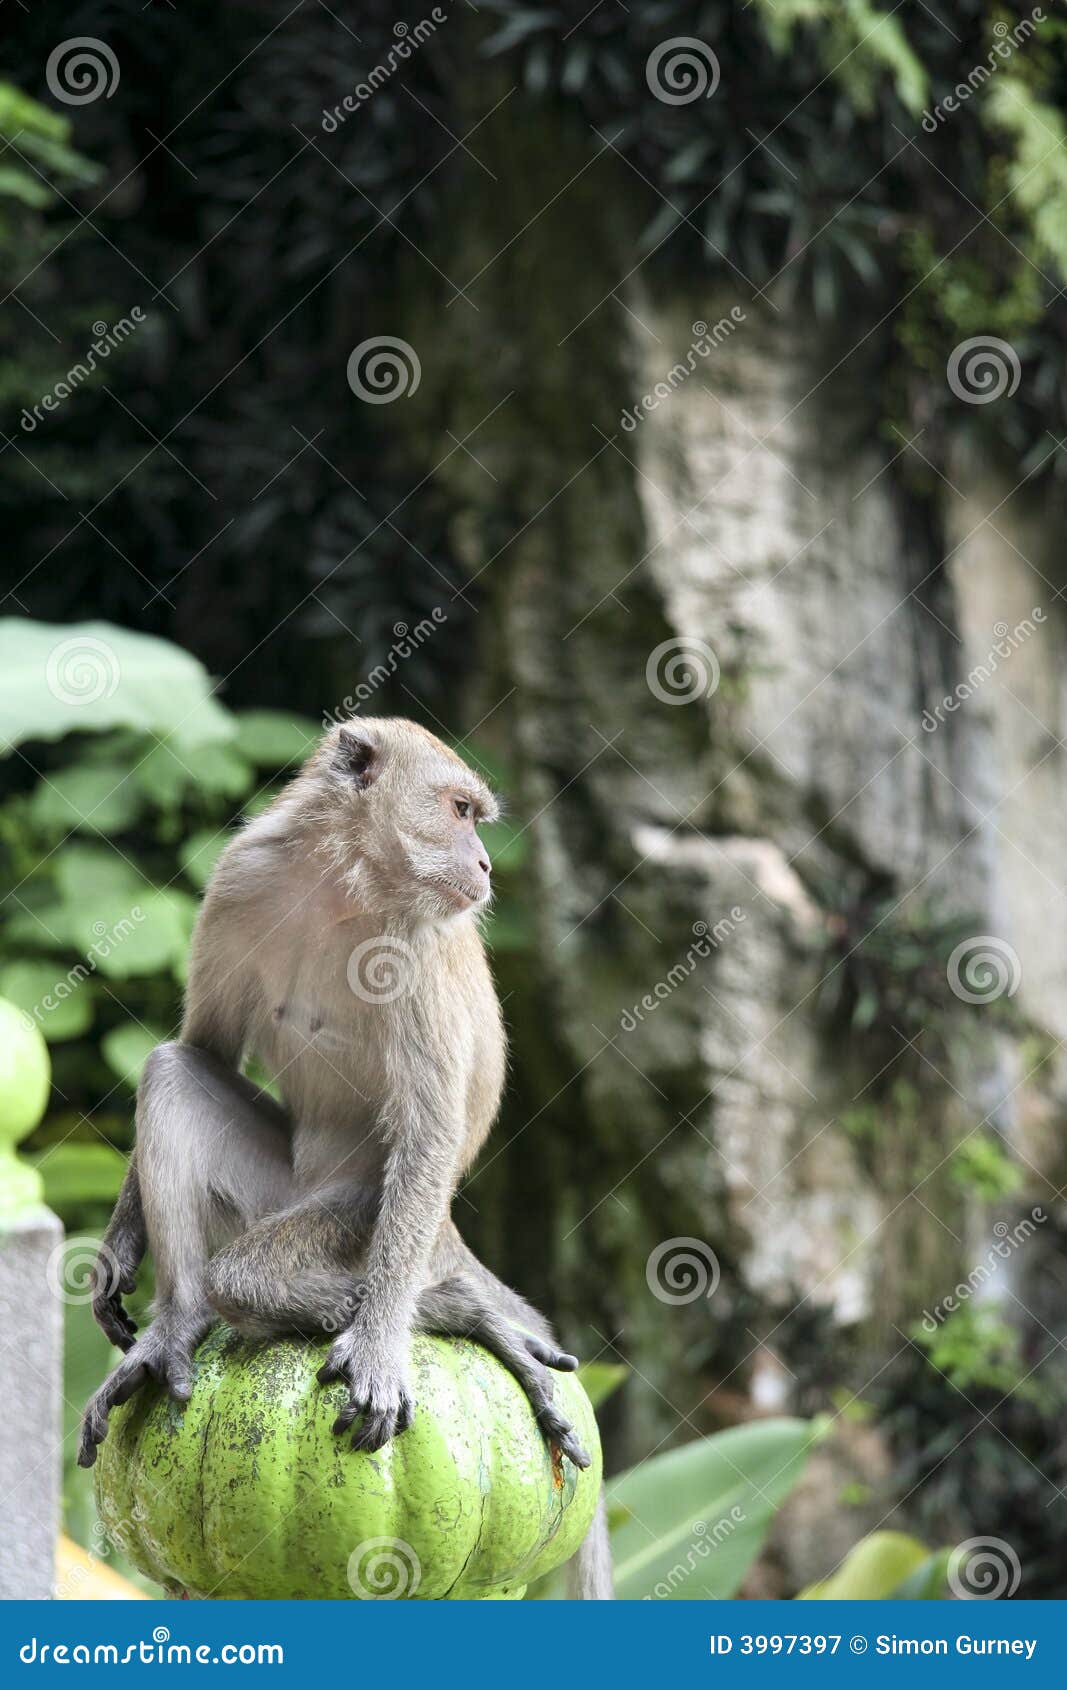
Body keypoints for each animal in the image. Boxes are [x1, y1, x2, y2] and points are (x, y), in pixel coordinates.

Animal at [77, 718, 613, 1599]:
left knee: (254, 1273)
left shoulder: (420, 941)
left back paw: (450, 1311)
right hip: (281, 1192)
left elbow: (428, 1130)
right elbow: (205, 1045)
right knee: (174, 1072)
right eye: (459, 810)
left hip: (372, 1220)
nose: (485, 864)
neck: (346, 881)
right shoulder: (241, 874)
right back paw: (179, 1323)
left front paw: (382, 1337)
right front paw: (123, 1245)